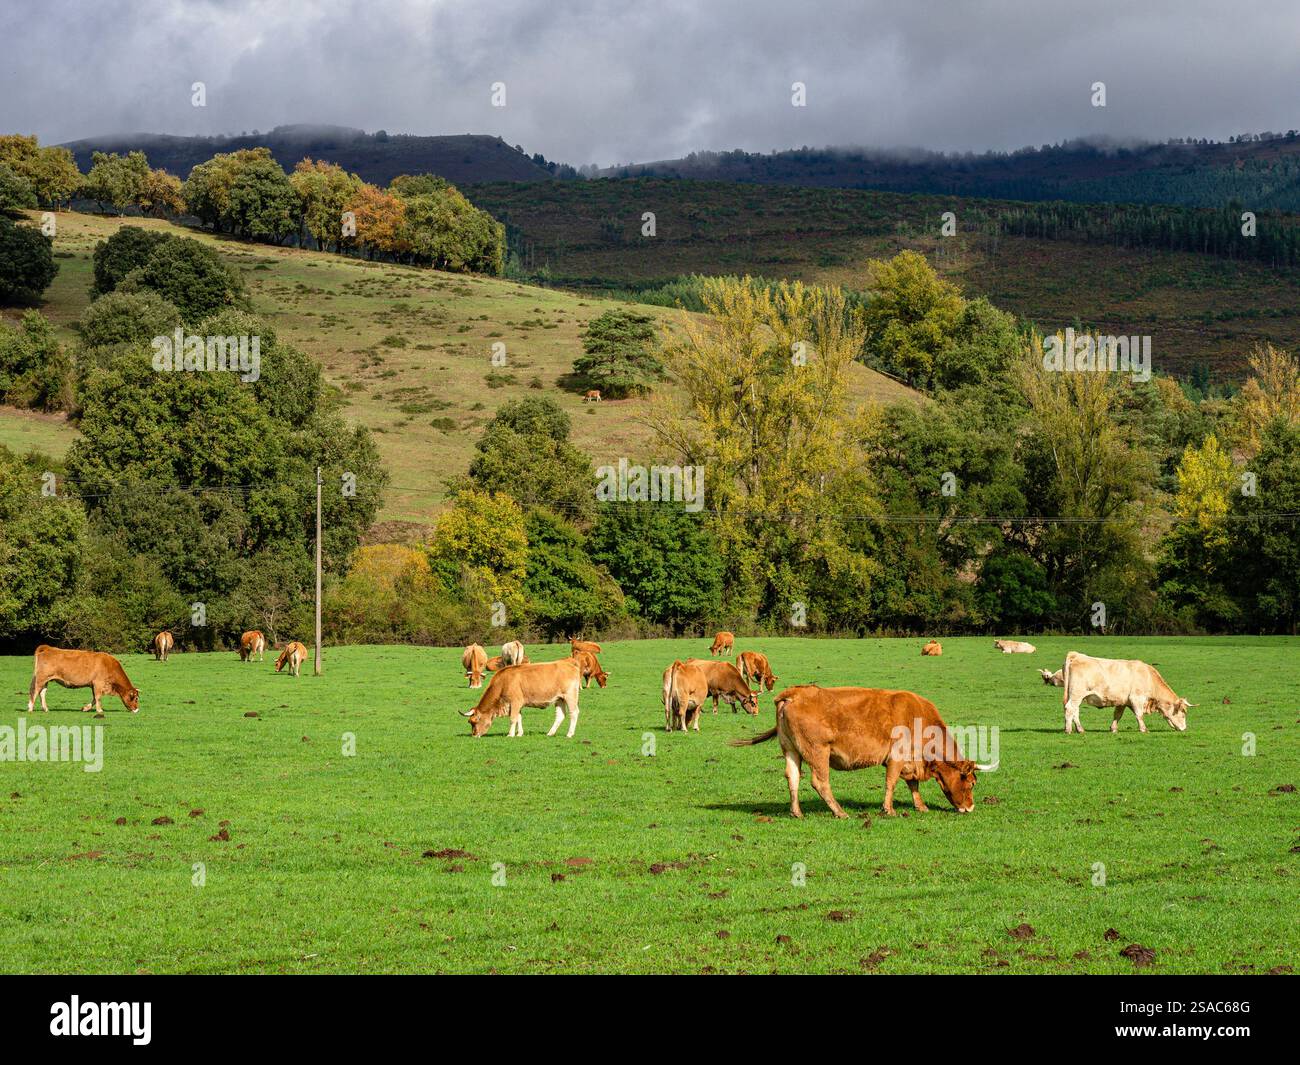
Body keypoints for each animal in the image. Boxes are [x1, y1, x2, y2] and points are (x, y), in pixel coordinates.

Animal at [730, 685, 994, 818]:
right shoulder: (896, 757)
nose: (970, 807)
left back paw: (797, 812)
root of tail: (795, 692)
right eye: (971, 783)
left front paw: (920, 806)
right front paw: (888, 809)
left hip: (791, 750)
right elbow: (891, 782)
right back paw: (840, 812)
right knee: (820, 781)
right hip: (818, 751)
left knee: (793, 777)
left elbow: (913, 784)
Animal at [1060, 651, 1193, 735]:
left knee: (1075, 711)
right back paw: (1069, 730)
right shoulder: (1136, 698)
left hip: (1076, 696)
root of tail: (1076, 655)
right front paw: (1144, 729)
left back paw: (1080, 729)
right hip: (1077, 694)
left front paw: (1113, 729)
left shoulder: (1123, 701)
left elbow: (1117, 715)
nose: (1184, 728)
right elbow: (1139, 715)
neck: (1148, 677)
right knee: (1070, 708)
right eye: (1183, 713)